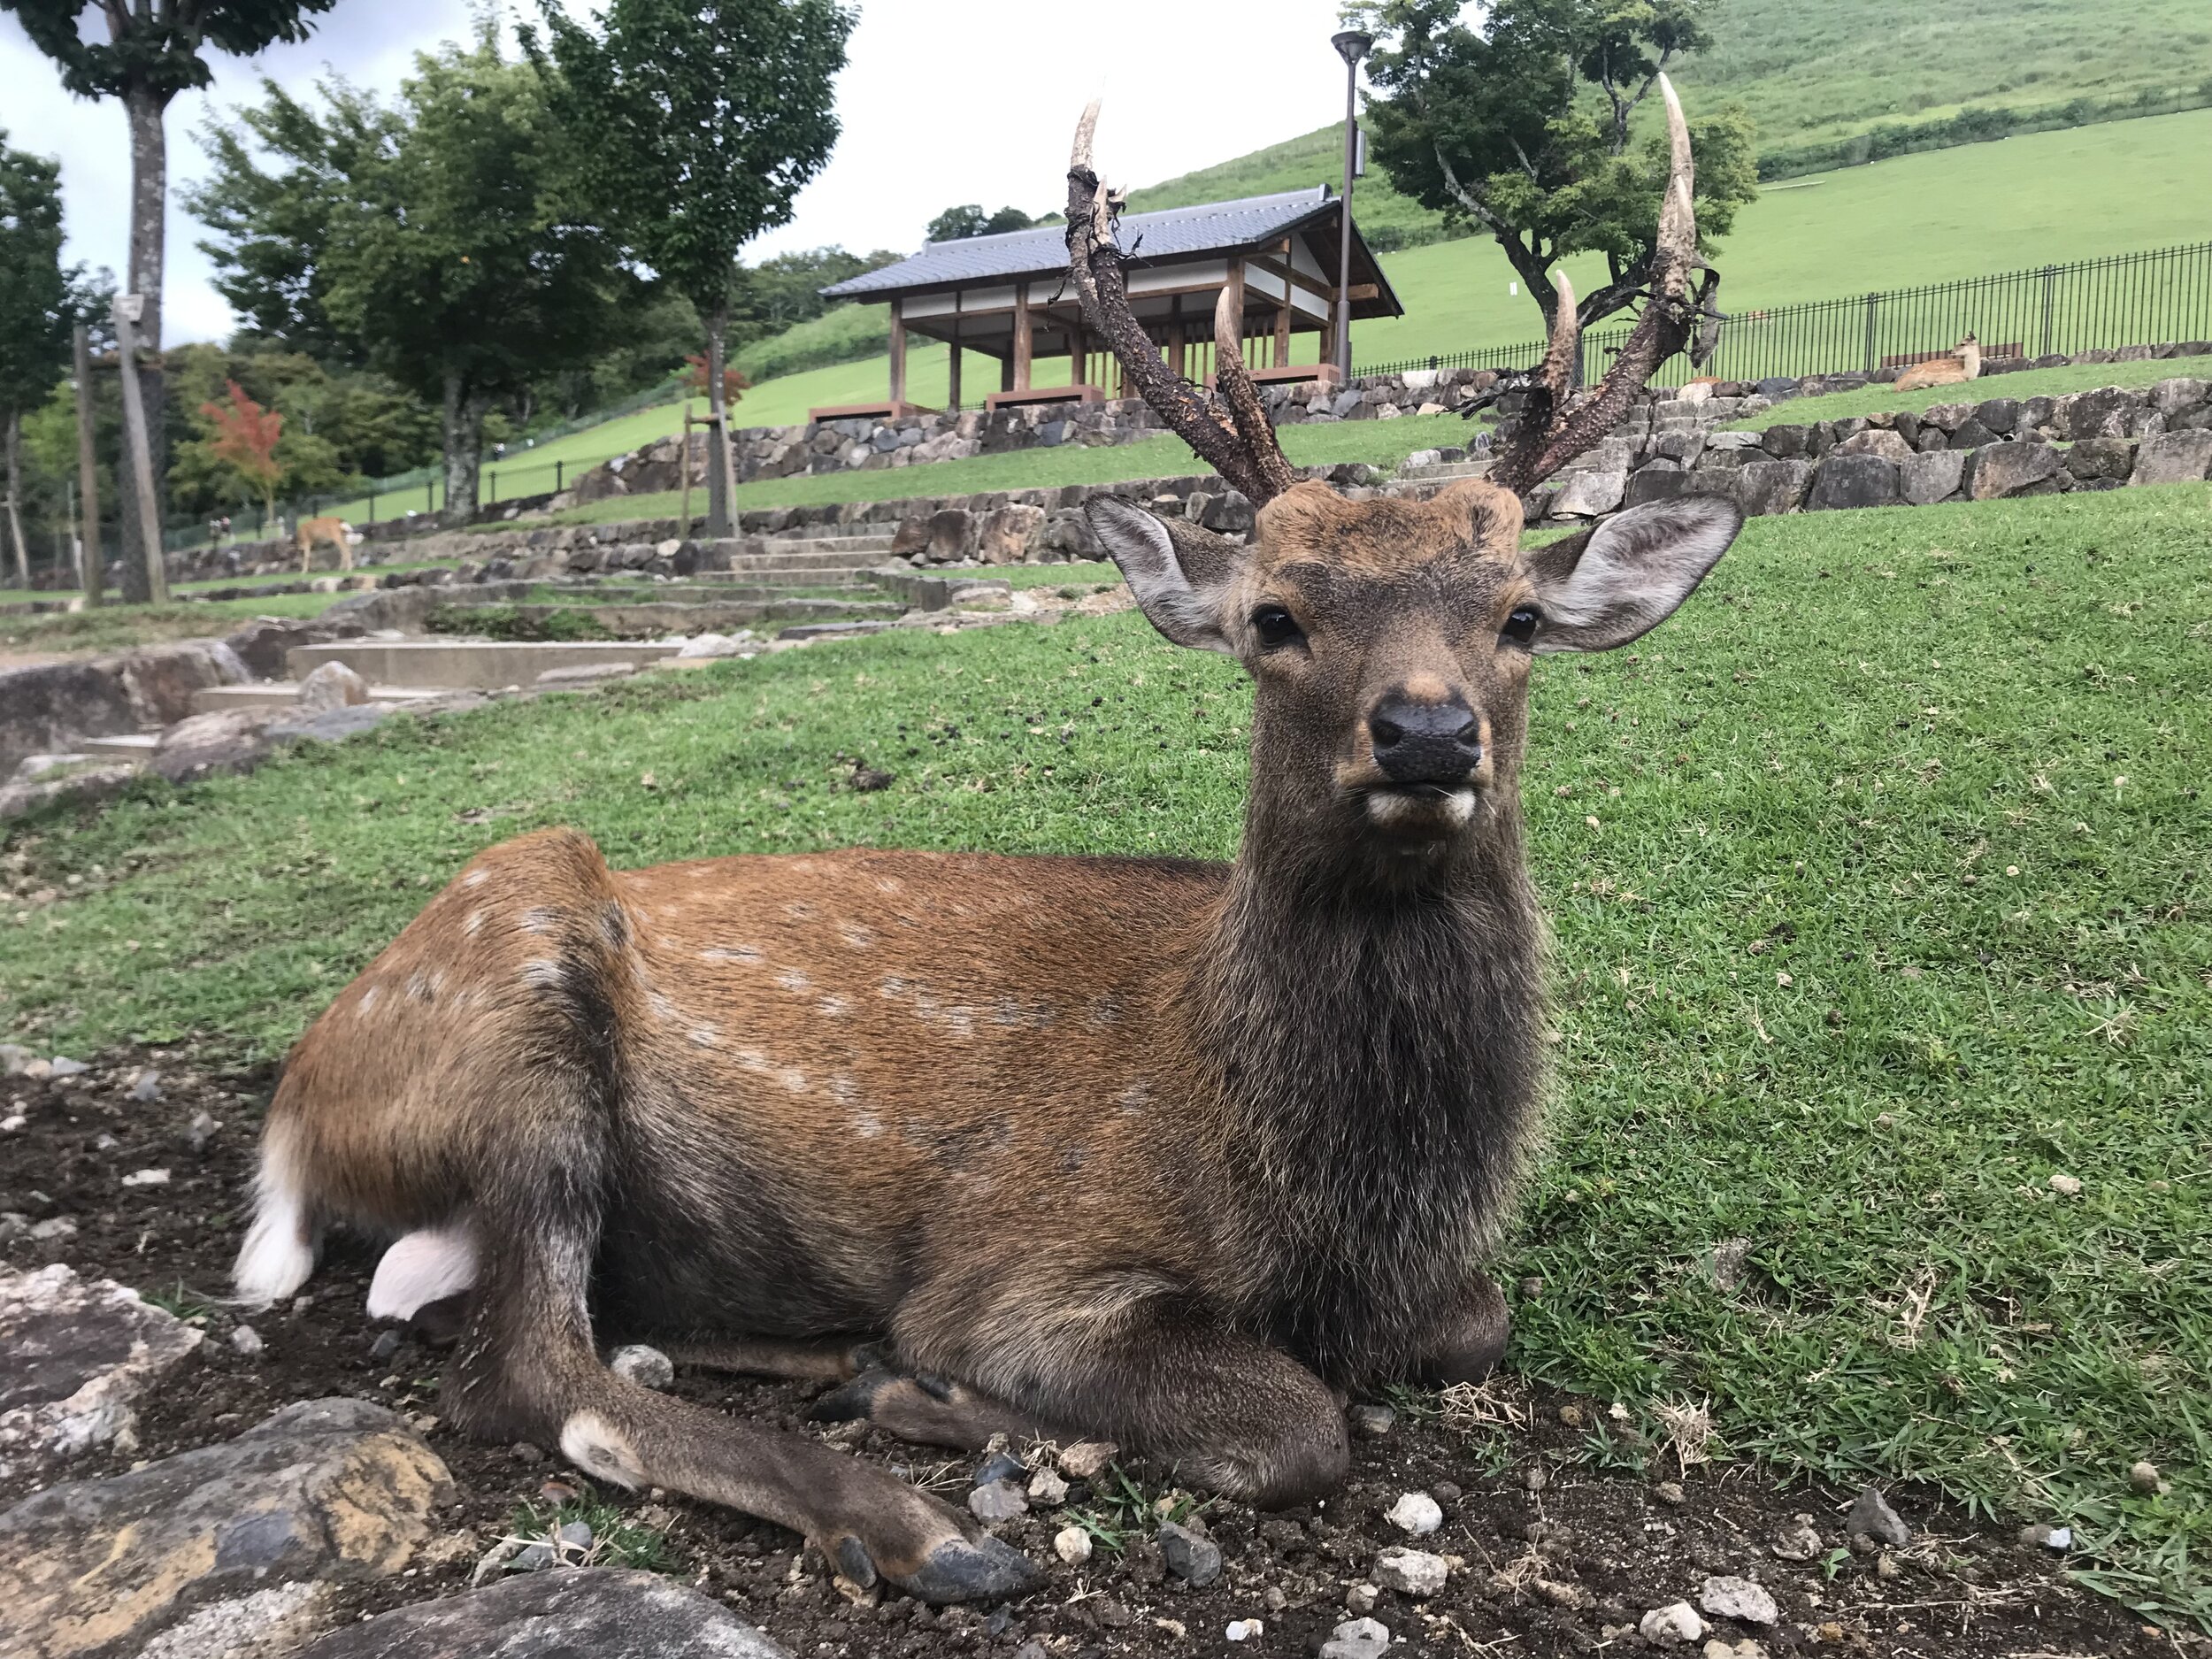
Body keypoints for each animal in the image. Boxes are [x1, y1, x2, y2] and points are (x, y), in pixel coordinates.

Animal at [228, 78, 1743, 1610]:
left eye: (1521, 615)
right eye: (1275, 614)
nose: (1428, 735)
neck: (1332, 1204)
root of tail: (294, 1111)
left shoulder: (1437, 1287)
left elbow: (1477, 1320)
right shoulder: (1026, 1262)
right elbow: (1297, 1418)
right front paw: (949, 1393)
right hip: (524, 988)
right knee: (531, 1370)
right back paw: (908, 1509)